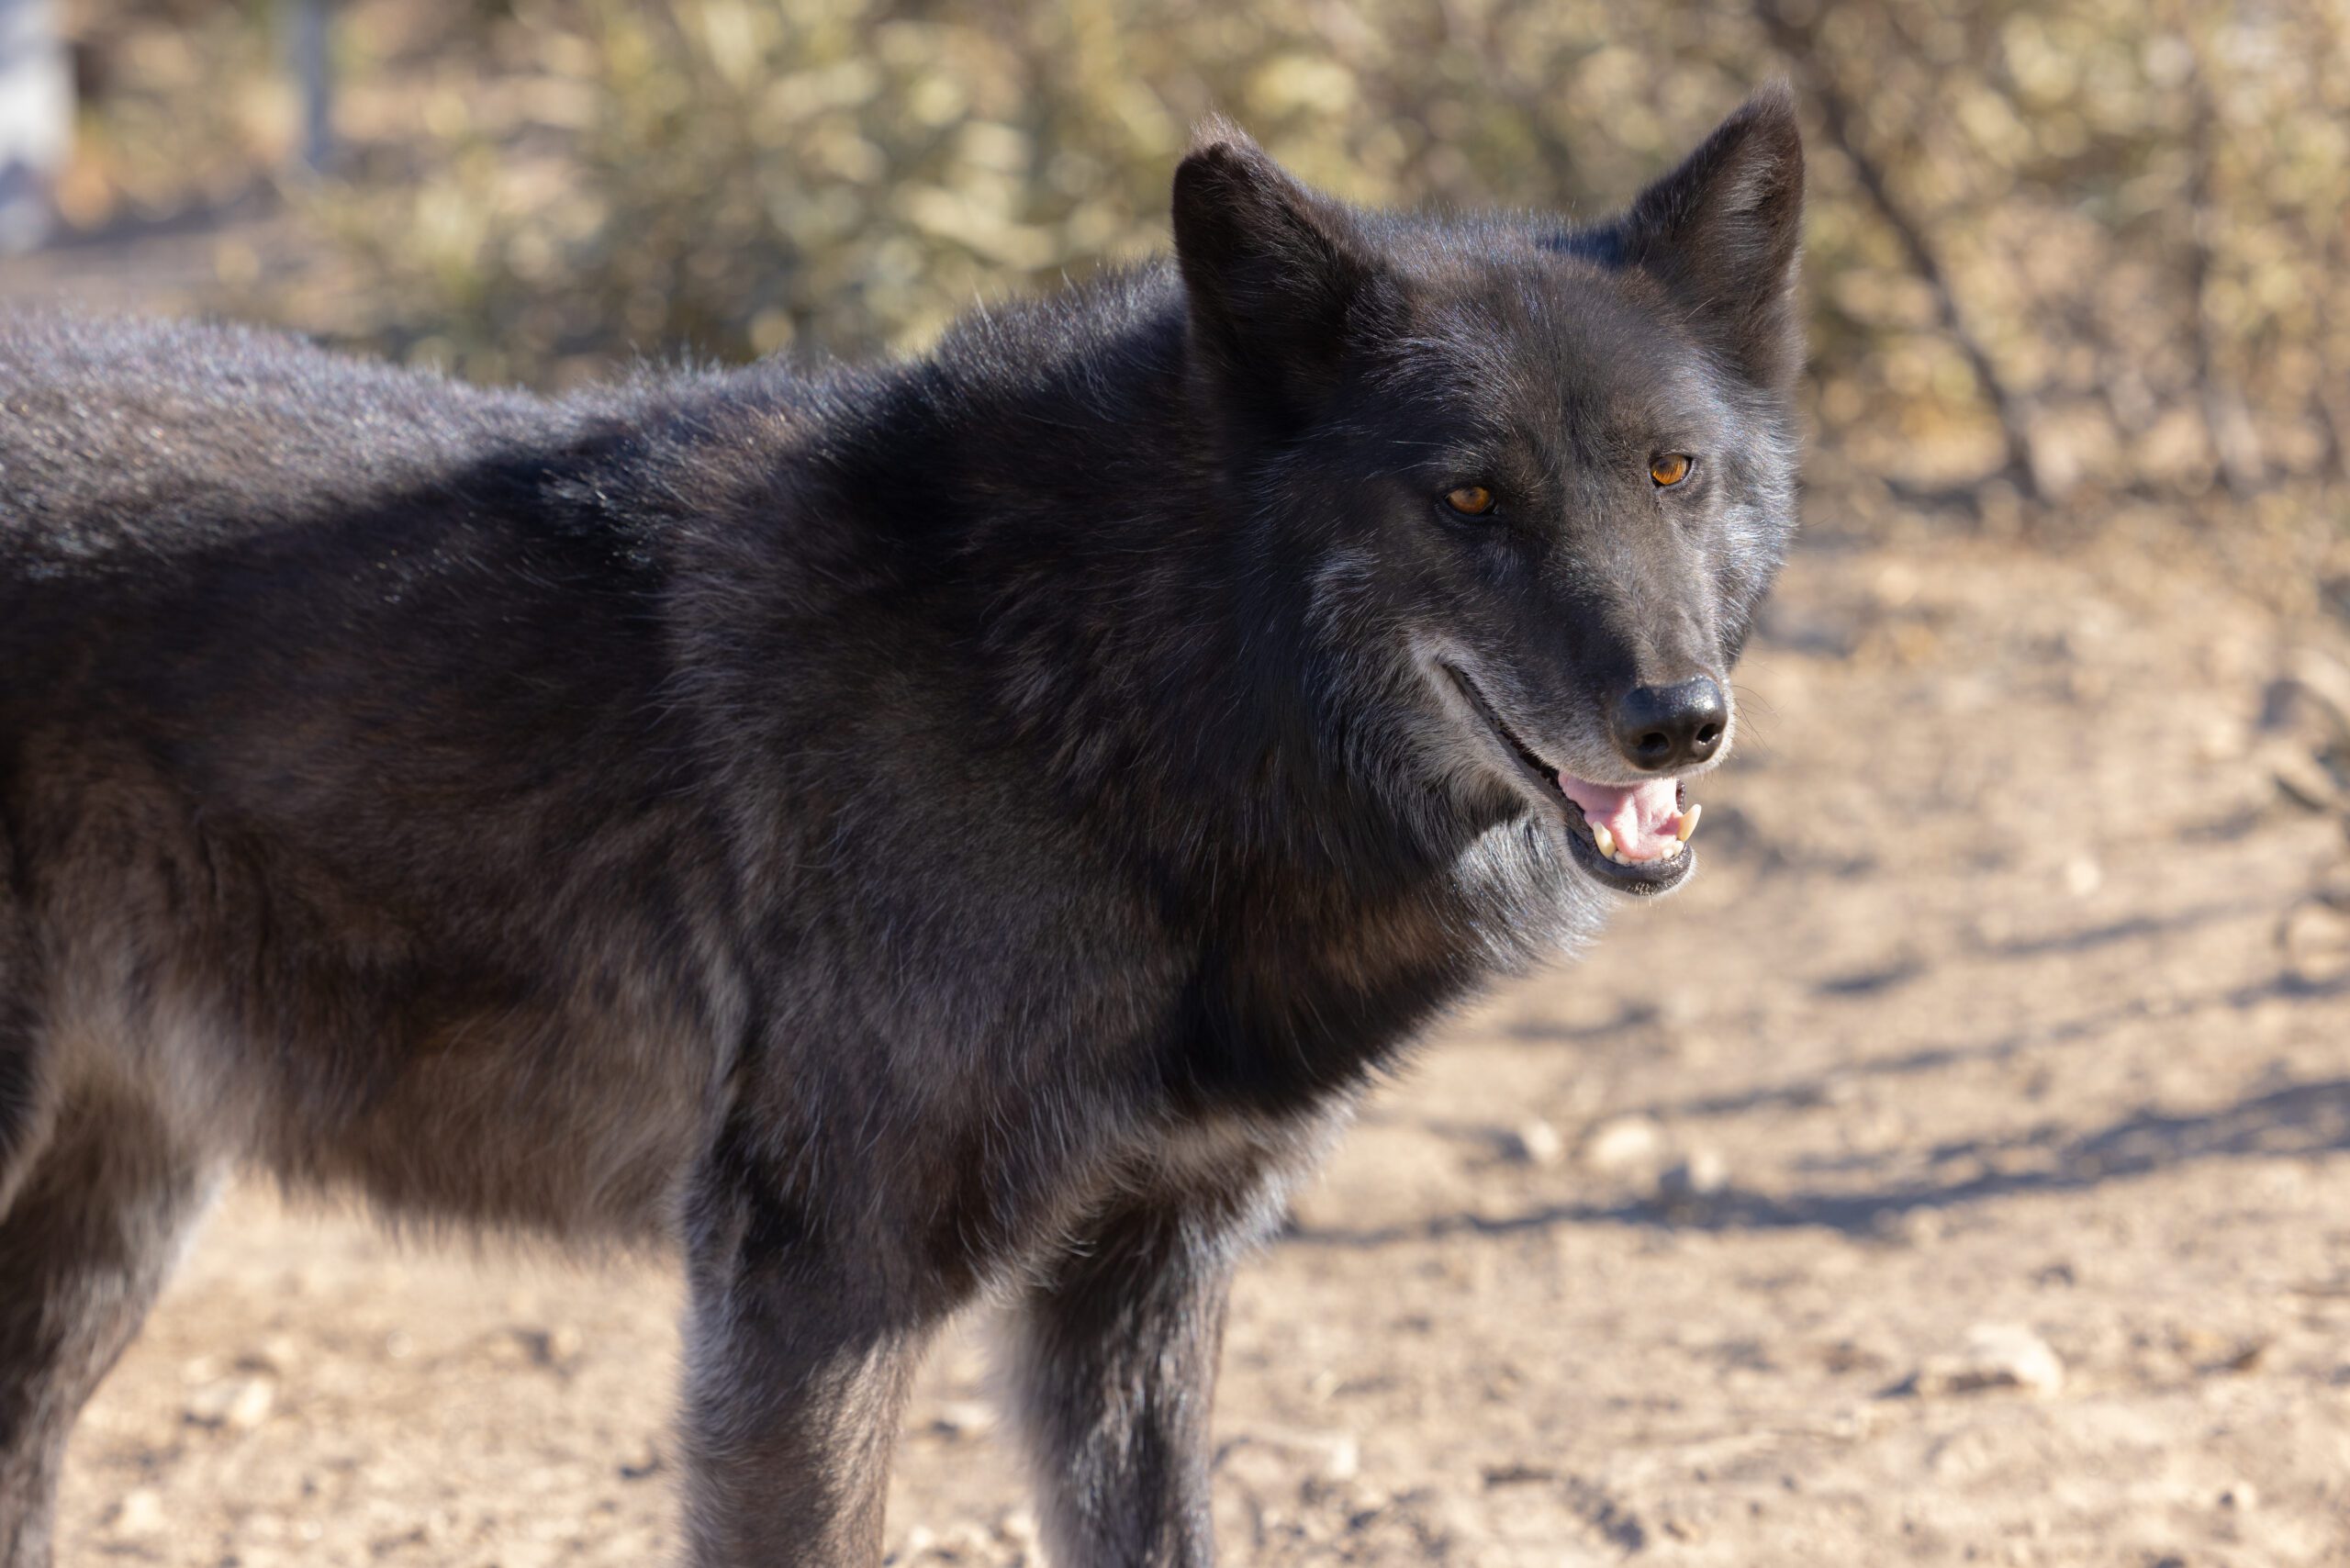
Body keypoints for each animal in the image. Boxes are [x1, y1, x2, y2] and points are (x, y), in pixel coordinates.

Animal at [0, 87, 1802, 1566]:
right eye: (1470, 498)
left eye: (1673, 472)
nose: (1676, 720)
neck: (1100, 685)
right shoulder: (812, 1291)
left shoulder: (1133, 1286)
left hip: (112, 1221)